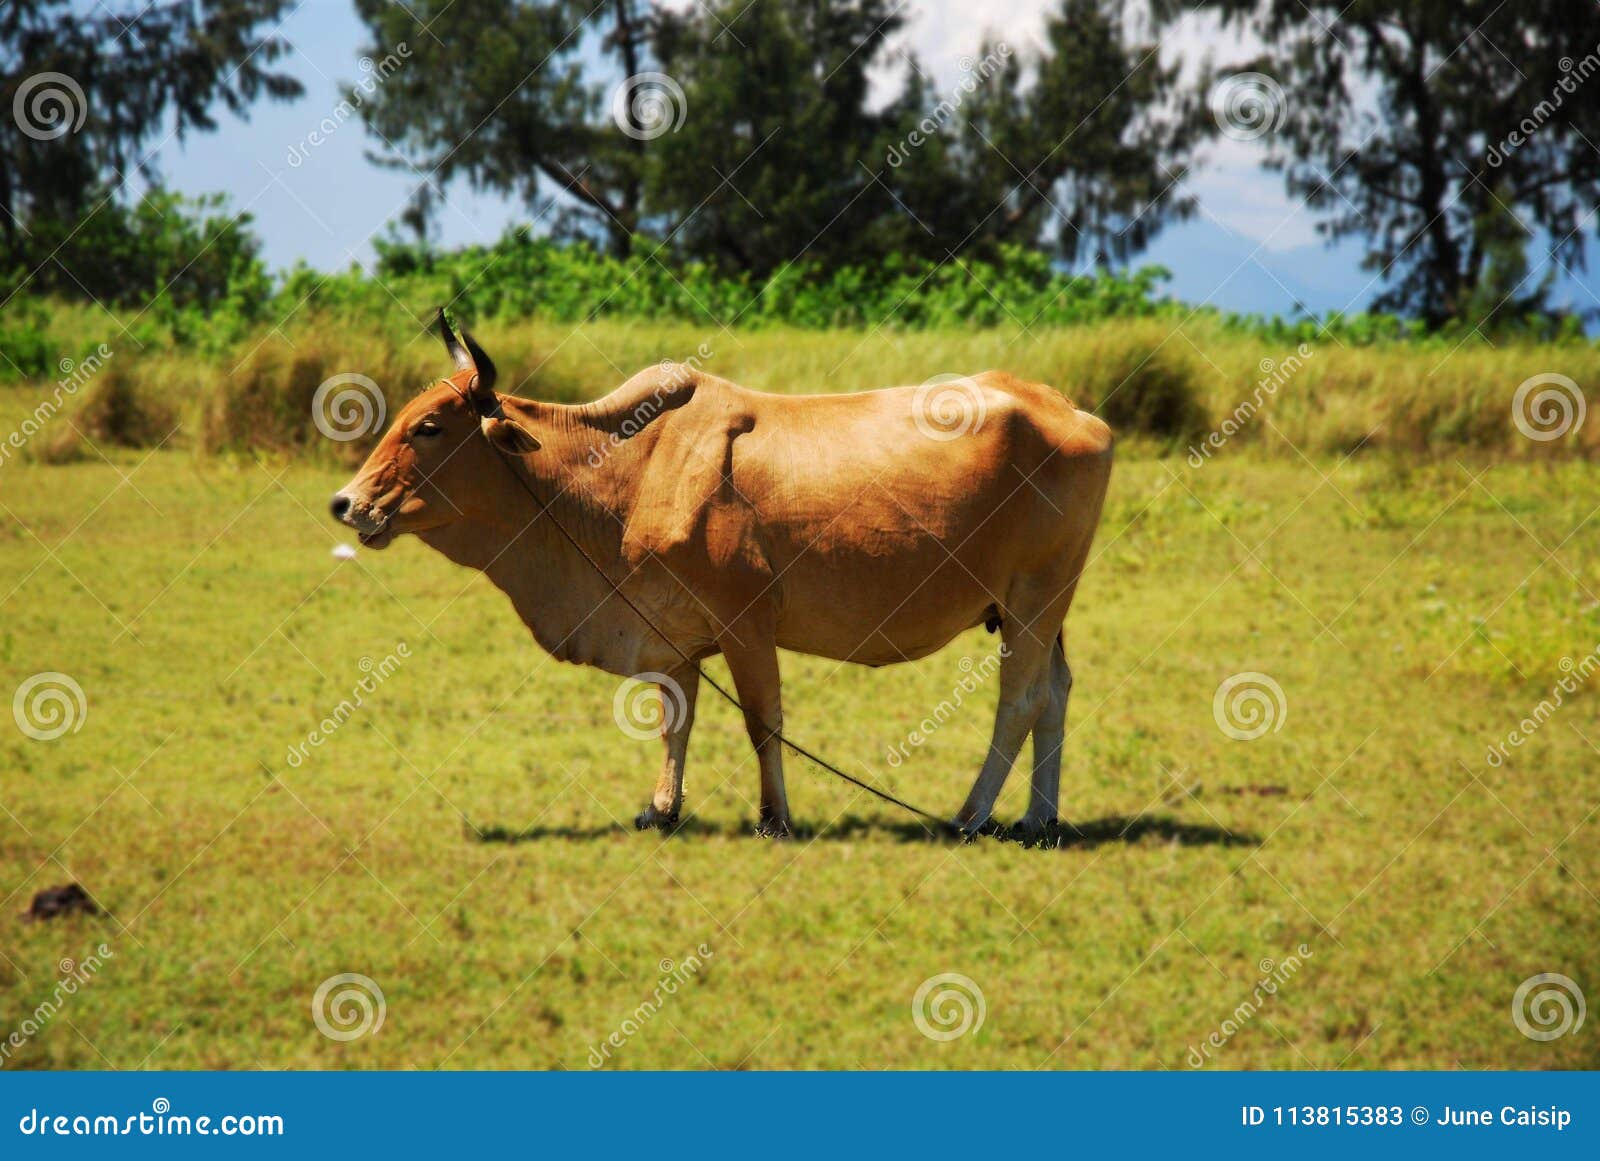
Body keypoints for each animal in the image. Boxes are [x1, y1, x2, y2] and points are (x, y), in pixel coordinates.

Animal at [331, 316, 1113, 838]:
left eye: (430, 426)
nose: (347, 503)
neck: (626, 469)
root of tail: (1072, 410)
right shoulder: (668, 633)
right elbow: (674, 721)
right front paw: (661, 807)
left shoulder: (746, 622)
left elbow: (763, 723)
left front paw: (775, 817)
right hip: (1042, 609)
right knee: (1055, 695)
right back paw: (1039, 819)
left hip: (1034, 601)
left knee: (1019, 700)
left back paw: (973, 814)